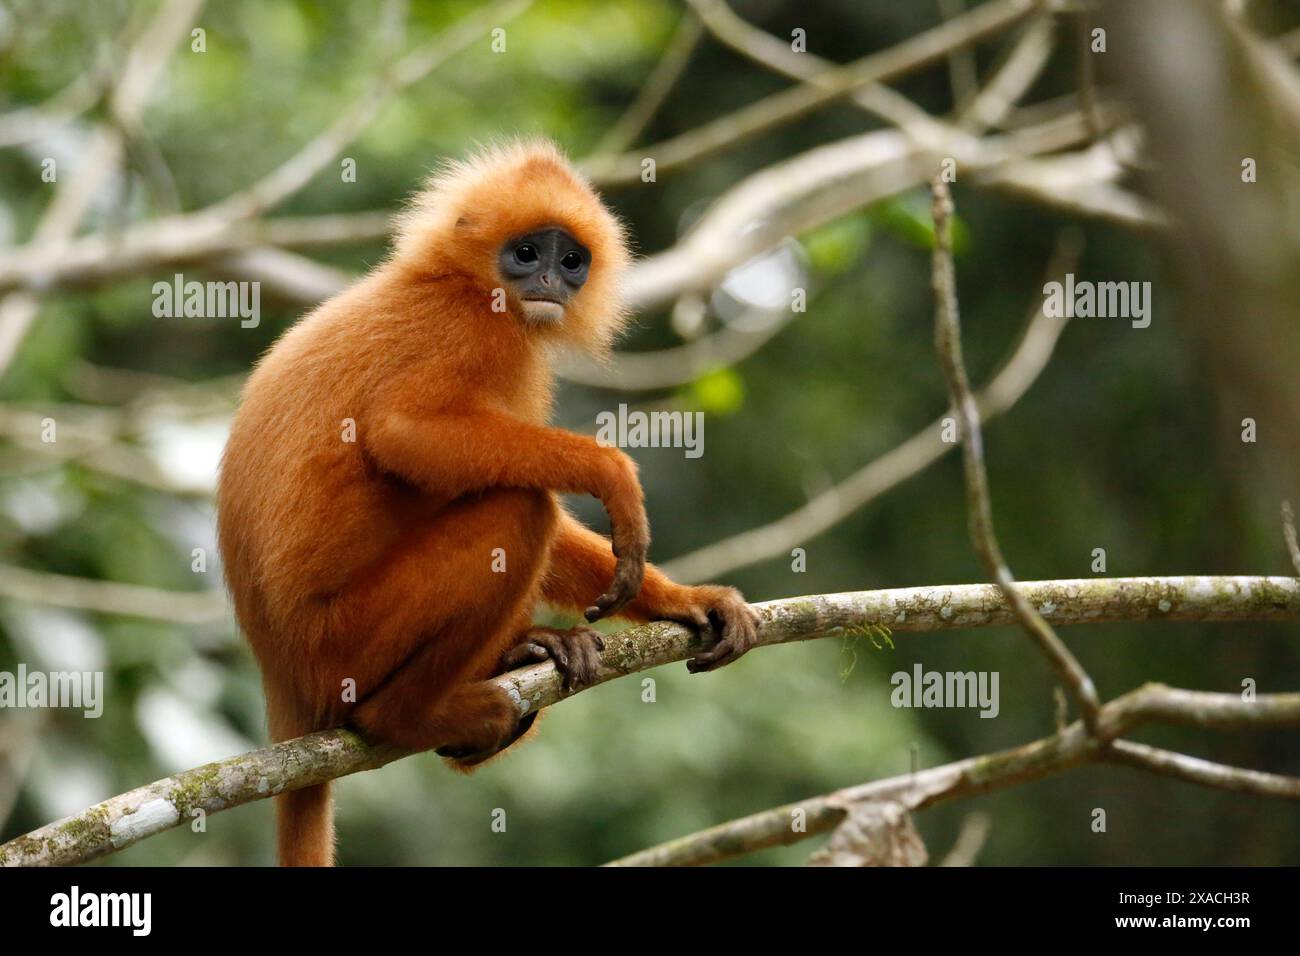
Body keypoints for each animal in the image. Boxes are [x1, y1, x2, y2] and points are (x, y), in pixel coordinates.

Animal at [216, 139, 761, 867]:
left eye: (571, 260)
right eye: (526, 253)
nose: (551, 280)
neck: (459, 284)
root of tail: (281, 680)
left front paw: (684, 599)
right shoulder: (474, 331)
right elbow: (403, 432)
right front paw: (612, 474)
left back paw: (525, 653)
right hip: (342, 648)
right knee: (517, 509)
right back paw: (408, 716)